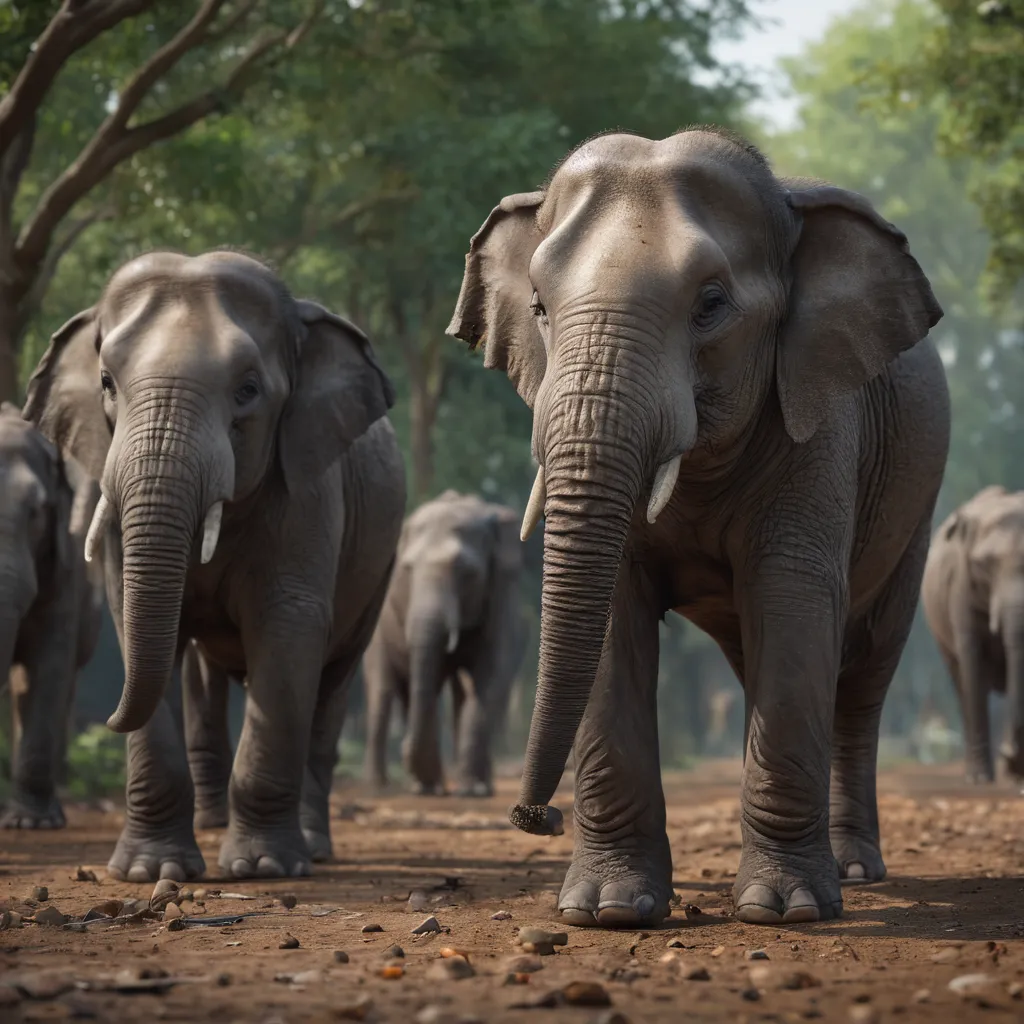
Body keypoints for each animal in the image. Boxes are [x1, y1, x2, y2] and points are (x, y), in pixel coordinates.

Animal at [23, 249, 406, 881]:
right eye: (106, 383)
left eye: (248, 390)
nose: (103, 722)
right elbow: (136, 617)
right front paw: (149, 872)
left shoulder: (307, 487)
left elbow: (289, 626)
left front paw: (264, 868)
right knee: (203, 678)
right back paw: (210, 825)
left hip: (380, 566)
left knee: (332, 685)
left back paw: (311, 847)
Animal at [363, 490, 525, 796]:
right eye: (407, 570)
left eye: (466, 572)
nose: (404, 752)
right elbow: (428, 676)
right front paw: (429, 785)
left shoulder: (500, 589)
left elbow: (492, 673)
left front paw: (473, 791)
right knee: (386, 689)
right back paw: (392, 787)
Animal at [447, 126, 950, 927]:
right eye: (539, 307)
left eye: (711, 305)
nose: (533, 817)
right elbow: (613, 614)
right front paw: (609, 911)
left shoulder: (818, 417)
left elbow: (793, 598)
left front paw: (787, 910)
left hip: (918, 508)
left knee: (864, 673)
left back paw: (855, 871)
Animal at [921, 486, 1024, 784]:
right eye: (985, 563)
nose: (1011, 757)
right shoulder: (961, 586)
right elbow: (973, 661)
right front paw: (980, 778)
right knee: (961, 685)